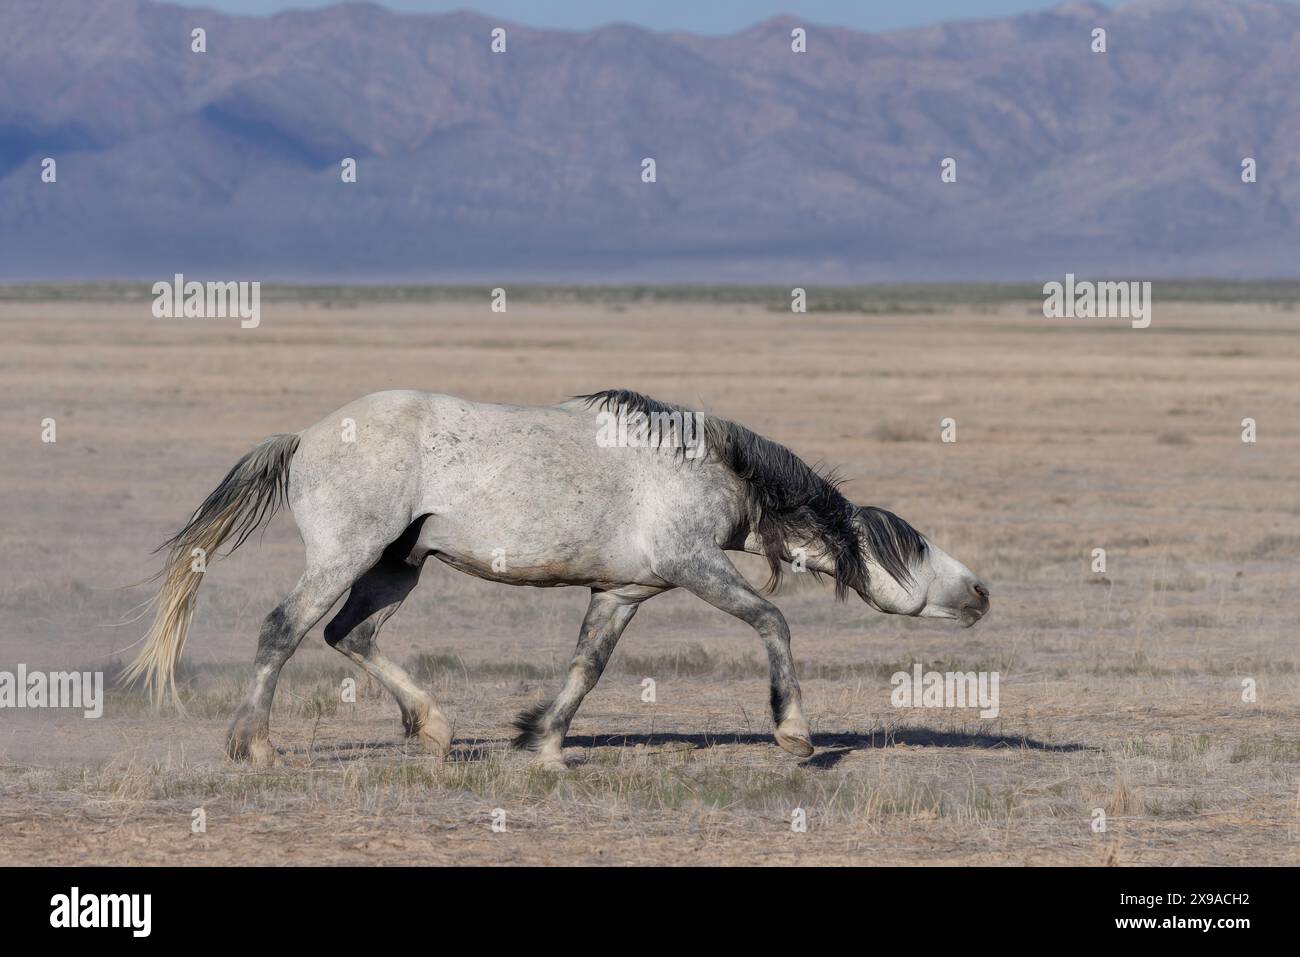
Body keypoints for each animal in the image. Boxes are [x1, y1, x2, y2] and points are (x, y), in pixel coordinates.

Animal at [126, 389, 990, 769]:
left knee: (350, 633)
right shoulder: (696, 565)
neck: (711, 466)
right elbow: (774, 623)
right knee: (286, 627)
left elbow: (587, 667)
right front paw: (794, 731)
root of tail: (304, 436)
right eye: (914, 547)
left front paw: (541, 741)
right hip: (346, 554)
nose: (981, 592)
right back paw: (254, 744)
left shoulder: (623, 592)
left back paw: (435, 727)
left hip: (397, 566)